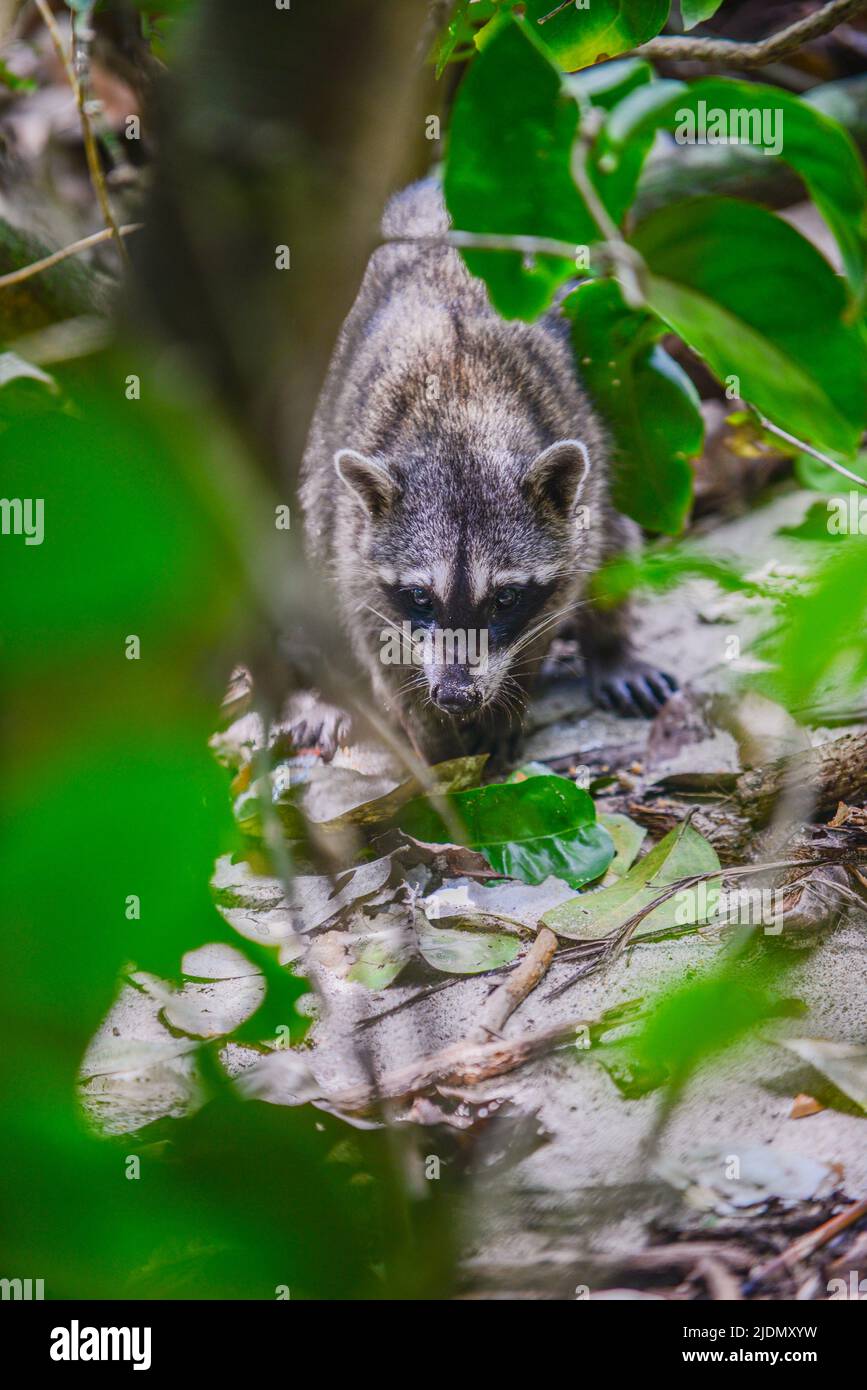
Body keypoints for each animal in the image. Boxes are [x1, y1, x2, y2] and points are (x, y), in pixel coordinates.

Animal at [297, 179, 675, 765]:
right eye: (421, 597)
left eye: (504, 598)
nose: (456, 696)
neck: (460, 422)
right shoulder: (355, 540)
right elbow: (376, 640)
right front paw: (438, 742)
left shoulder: (567, 525)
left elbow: (553, 609)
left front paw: (505, 708)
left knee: (615, 535)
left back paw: (611, 647)